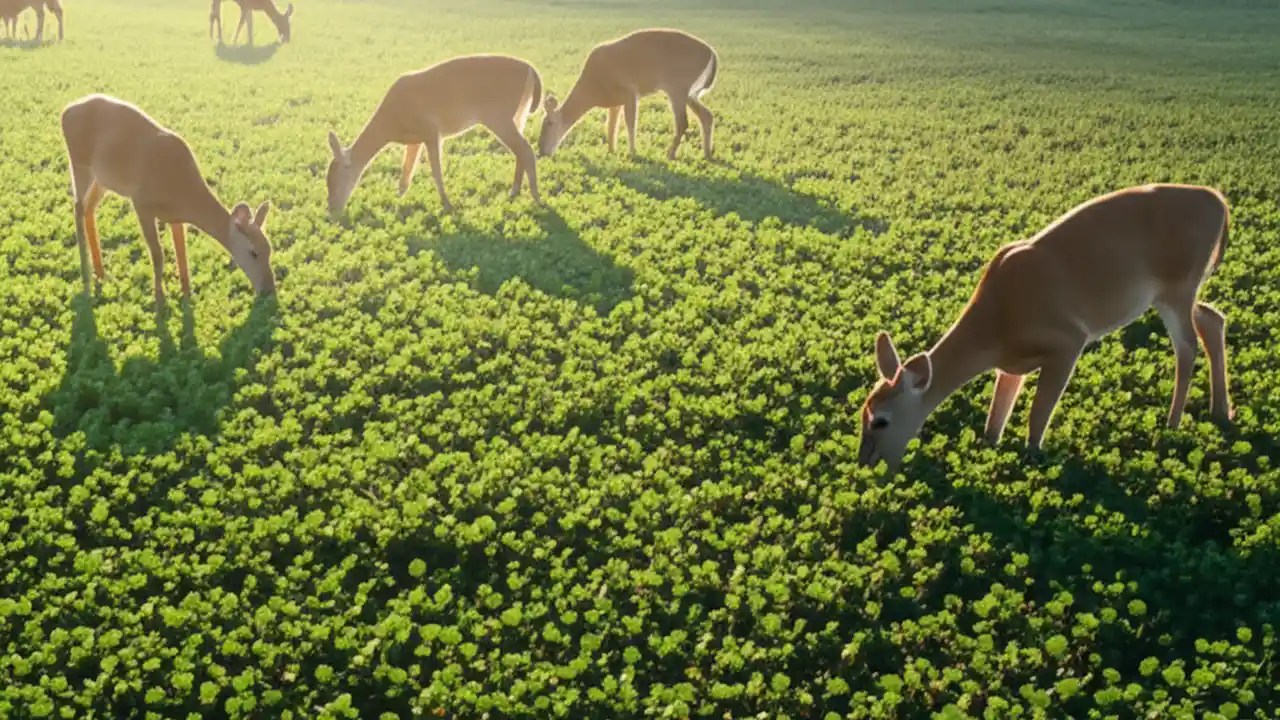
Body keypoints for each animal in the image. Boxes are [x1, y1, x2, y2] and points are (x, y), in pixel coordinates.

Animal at [61, 94, 277, 301]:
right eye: (253, 252)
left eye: (269, 249)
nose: (269, 290)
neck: (181, 191)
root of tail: (65, 111)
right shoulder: (141, 202)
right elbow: (158, 254)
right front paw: (159, 297)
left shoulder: (176, 217)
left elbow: (182, 253)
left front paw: (186, 292)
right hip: (79, 162)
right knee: (78, 207)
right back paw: (87, 277)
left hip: (102, 179)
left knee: (89, 209)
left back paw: (101, 272)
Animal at [325, 55, 543, 217]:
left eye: (335, 180)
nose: (332, 209)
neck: (391, 124)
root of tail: (532, 70)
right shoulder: (415, 139)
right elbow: (406, 171)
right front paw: (398, 199)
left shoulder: (431, 131)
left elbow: (436, 171)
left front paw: (447, 204)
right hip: (518, 113)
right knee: (520, 150)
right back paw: (515, 191)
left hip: (498, 115)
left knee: (526, 150)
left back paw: (536, 198)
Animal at [539, 28, 718, 162]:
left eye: (549, 123)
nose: (542, 152)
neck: (594, 87)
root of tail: (713, 55)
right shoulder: (615, 102)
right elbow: (611, 125)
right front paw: (611, 151)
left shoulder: (630, 92)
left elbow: (630, 123)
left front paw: (632, 152)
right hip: (690, 93)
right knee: (706, 115)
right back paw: (707, 154)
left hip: (678, 87)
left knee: (683, 122)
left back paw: (670, 154)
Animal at [859, 184, 1233, 471]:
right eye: (863, 411)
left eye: (881, 420)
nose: (865, 462)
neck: (998, 326)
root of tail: (1219, 202)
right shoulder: (1011, 366)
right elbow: (995, 420)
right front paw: (988, 452)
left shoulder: (1068, 340)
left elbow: (1038, 415)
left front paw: (1033, 457)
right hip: (1181, 290)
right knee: (1213, 319)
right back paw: (1220, 411)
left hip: (1178, 285)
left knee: (1187, 345)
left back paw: (1172, 424)